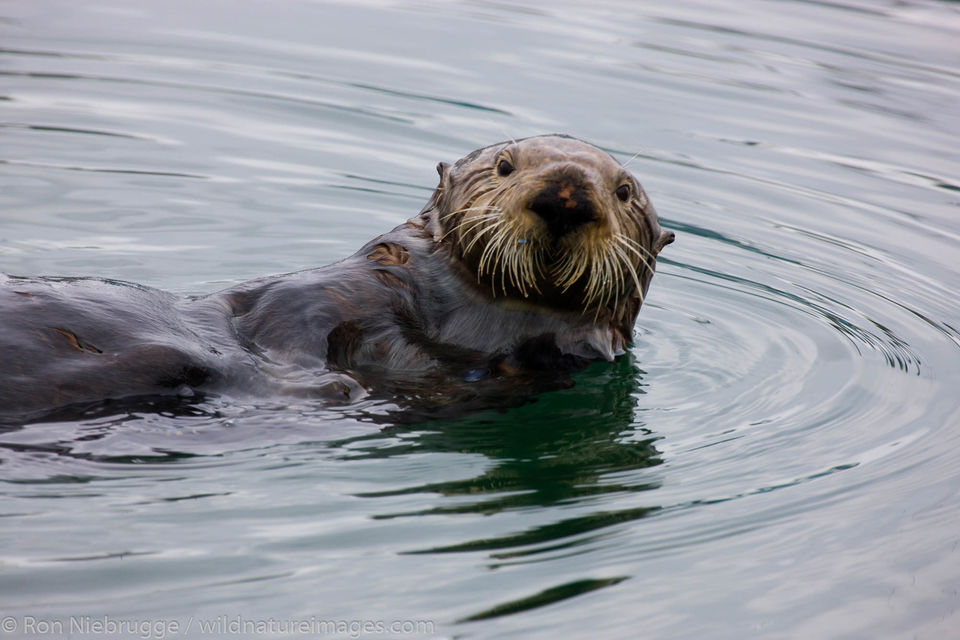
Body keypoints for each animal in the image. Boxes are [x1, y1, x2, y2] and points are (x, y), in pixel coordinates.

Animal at [0, 135, 674, 417]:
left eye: (623, 192)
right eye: (507, 166)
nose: (567, 192)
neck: (481, 322)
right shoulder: (360, 282)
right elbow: (298, 318)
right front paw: (326, 384)